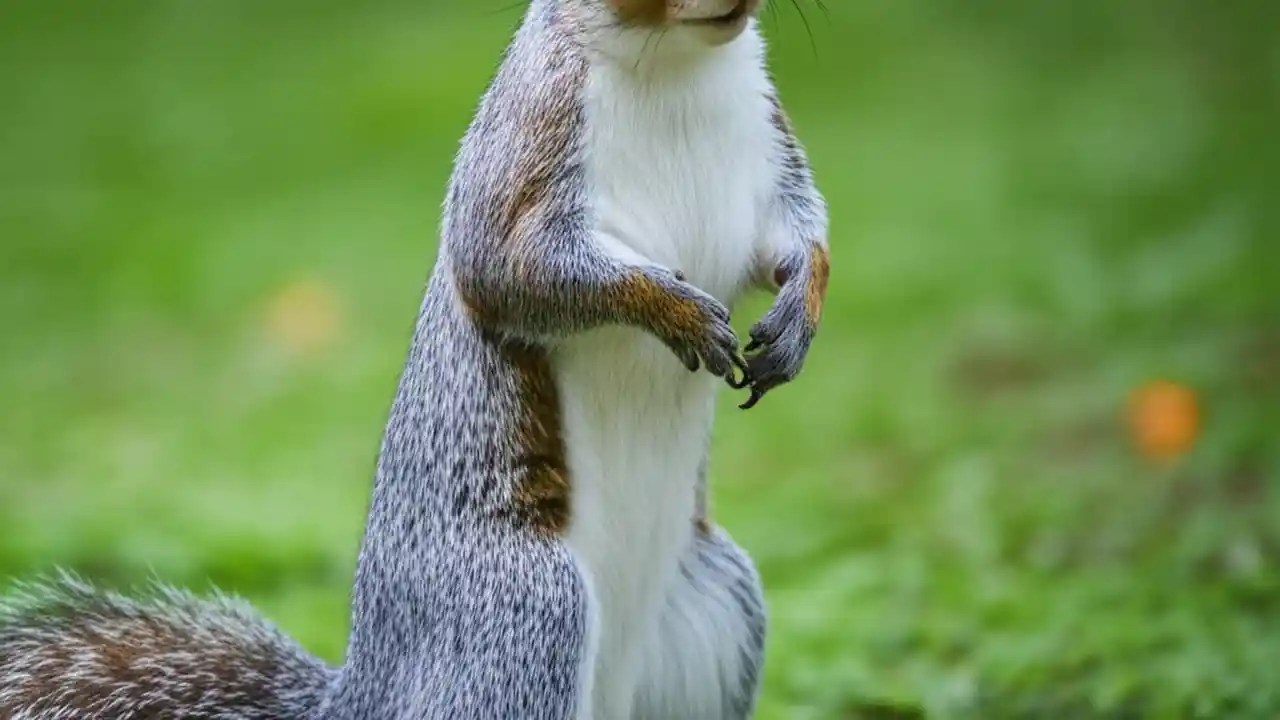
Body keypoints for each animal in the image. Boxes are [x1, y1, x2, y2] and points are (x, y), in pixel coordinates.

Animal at [0, 0, 829, 718]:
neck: (677, 67)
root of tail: (367, 698)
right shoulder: (527, 146)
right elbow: (515, 270)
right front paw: (680, 313)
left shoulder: (770, 148)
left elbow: (801, 236)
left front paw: (797, 320)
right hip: (526, 613)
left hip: (718, 601)